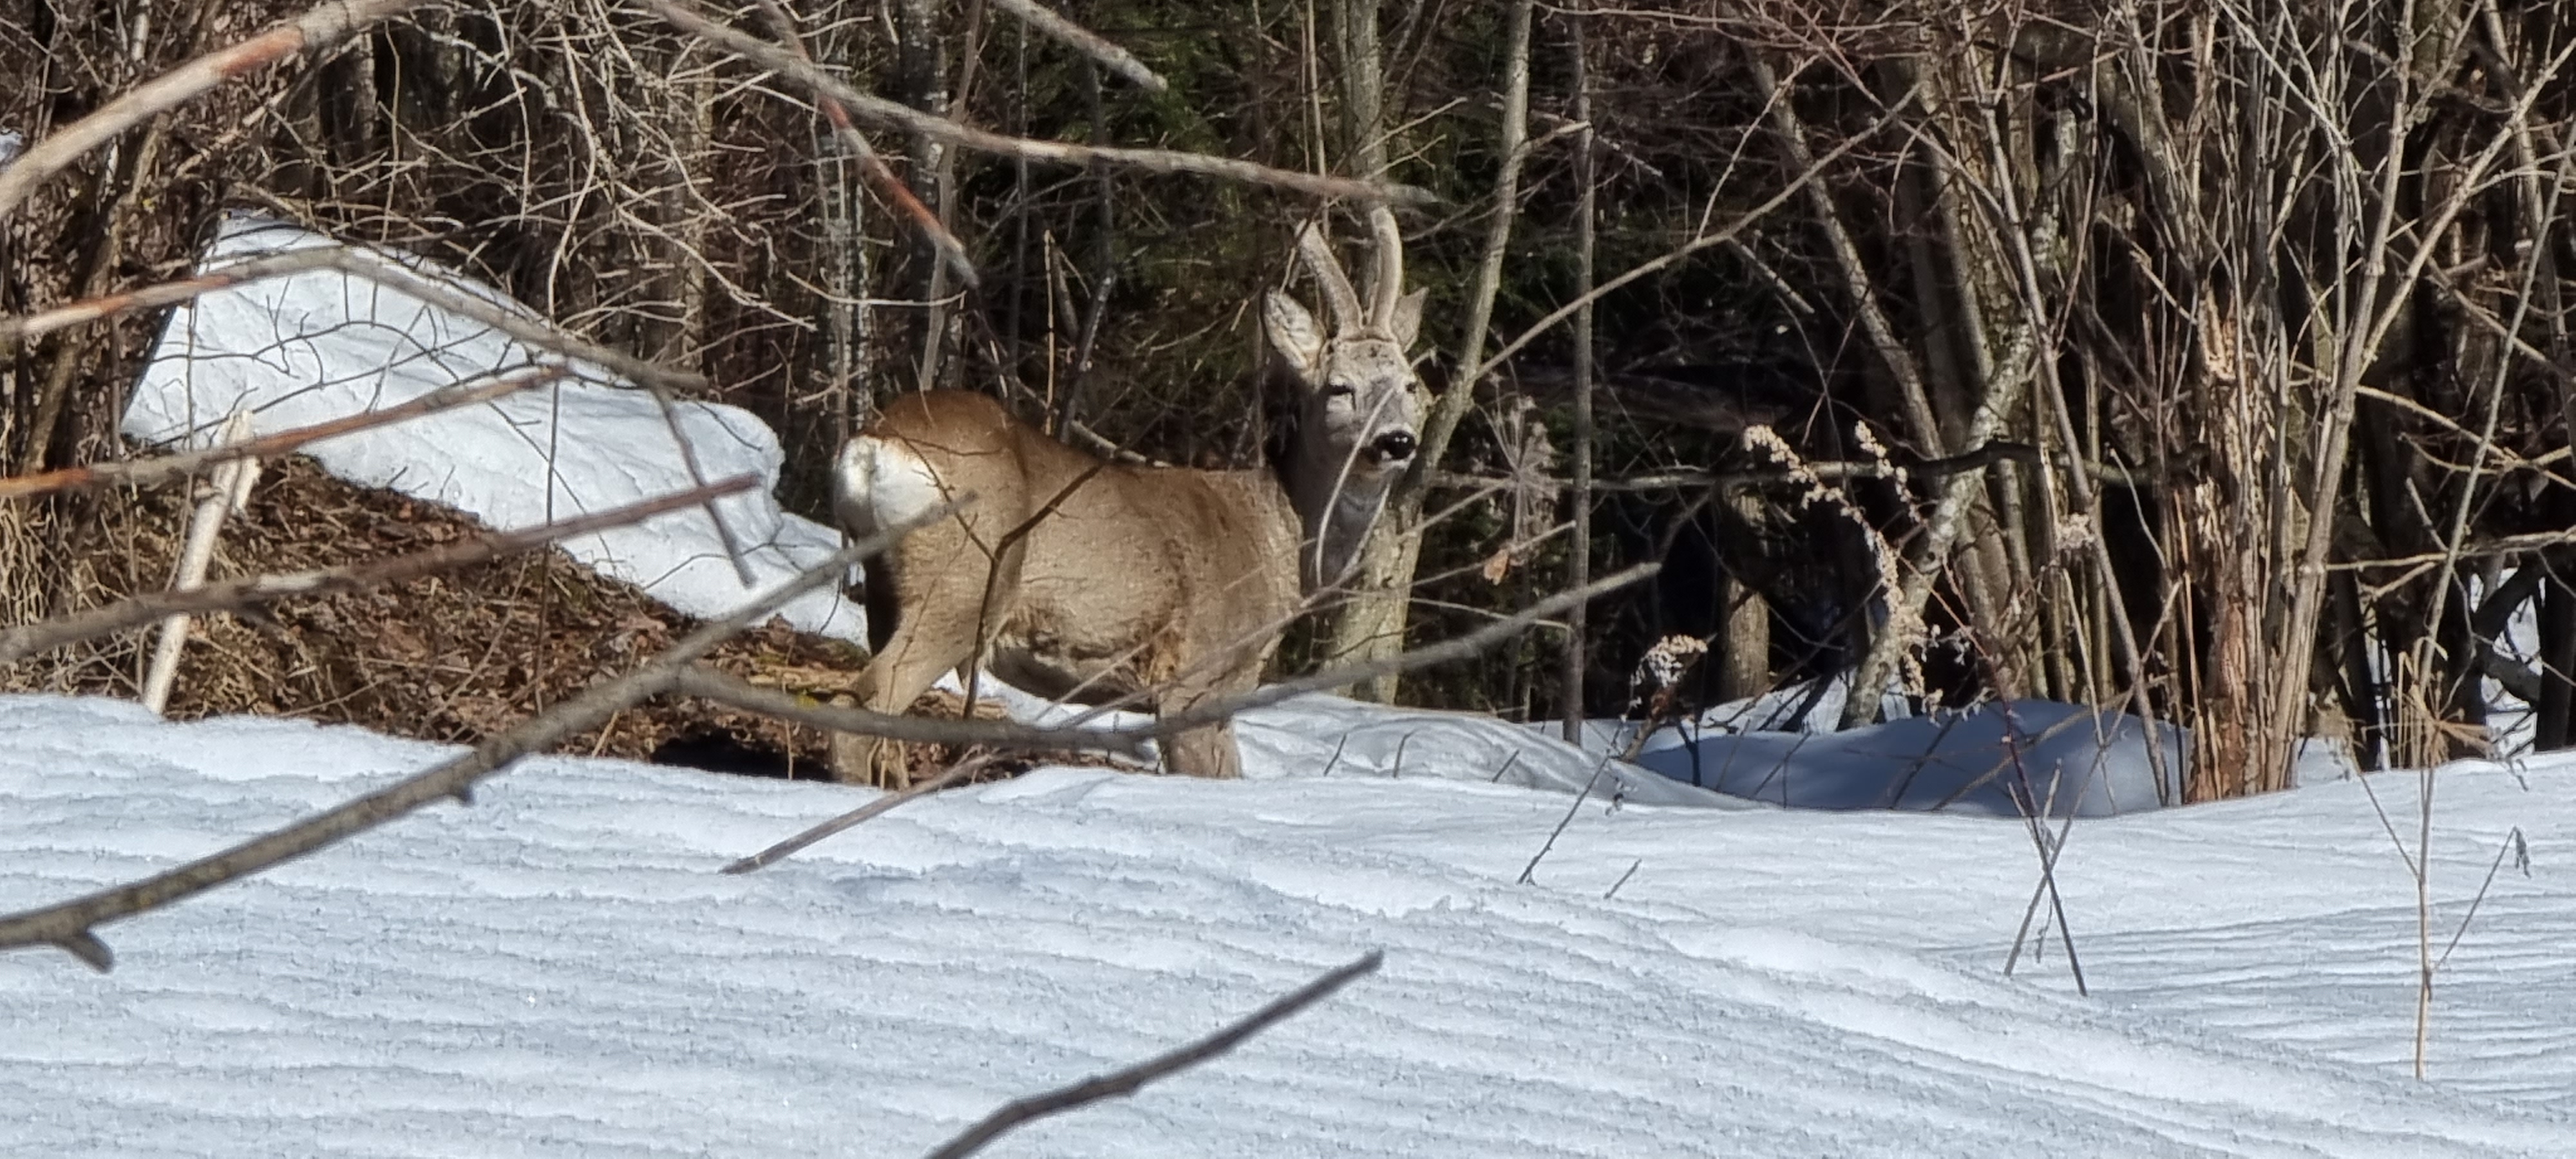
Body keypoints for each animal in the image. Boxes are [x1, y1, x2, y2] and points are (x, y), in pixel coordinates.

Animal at [829, 210, 1432, 788]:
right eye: (1339, 387)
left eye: (1411, 385)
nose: (1397, 441)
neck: (1279, 535)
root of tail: (875, 444)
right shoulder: (1196, 677)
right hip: (965, 584)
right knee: (859, 708)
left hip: (887, 586)